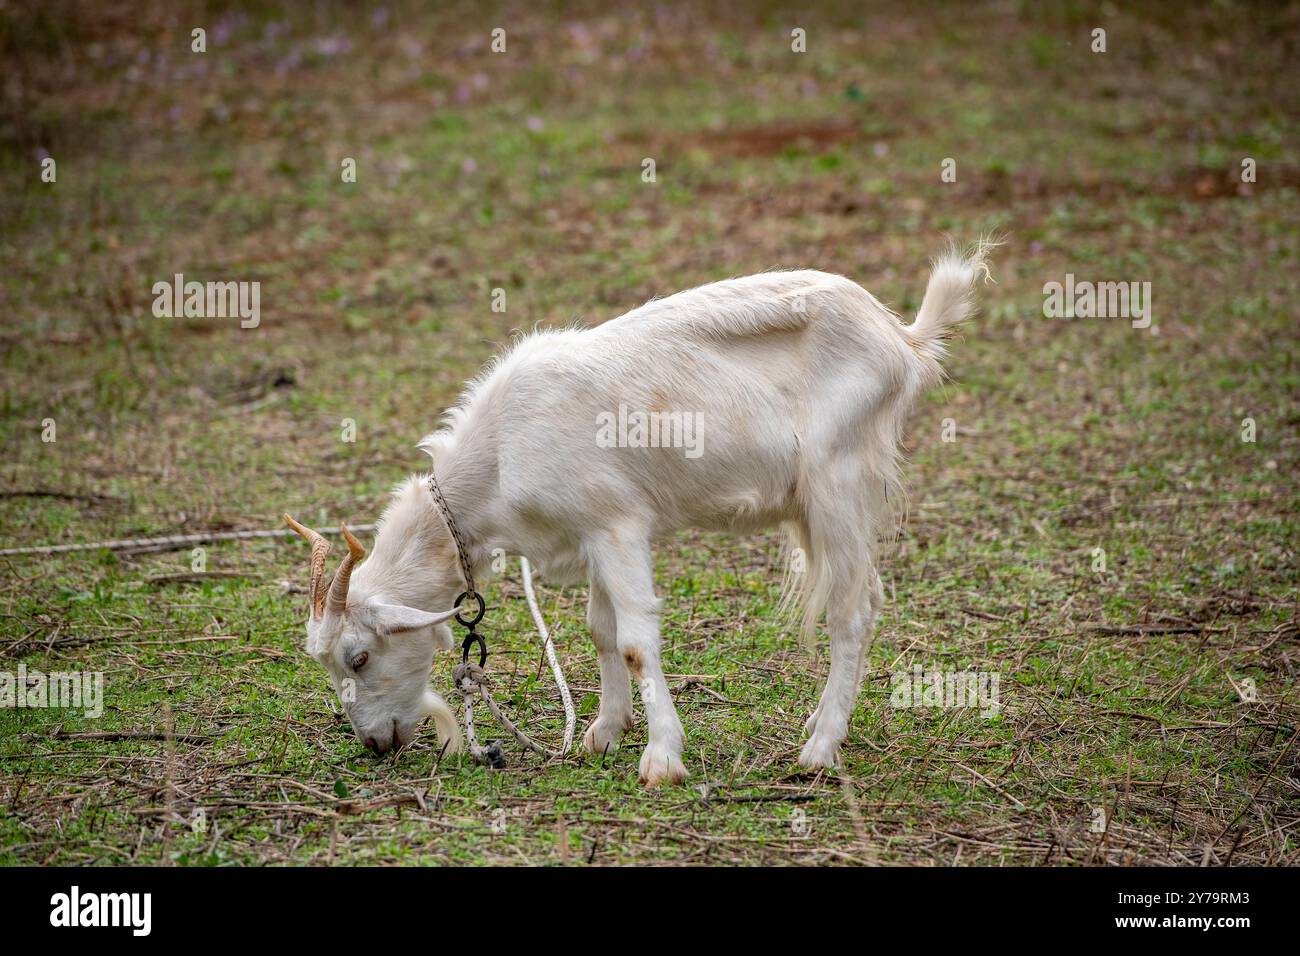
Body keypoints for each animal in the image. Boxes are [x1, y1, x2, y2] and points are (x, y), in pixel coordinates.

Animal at [285, 241, 993, 786]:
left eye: (358, 658)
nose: (375, 743)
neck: (501, 452)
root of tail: (901, 338)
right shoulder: (591, 532)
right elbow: (600, 630)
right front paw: (604, 730)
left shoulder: (617, 523)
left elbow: (633, 639)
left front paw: (661, 759)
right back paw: (821, 726)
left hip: (838, 485)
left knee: (854, 610)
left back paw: (819, 753)